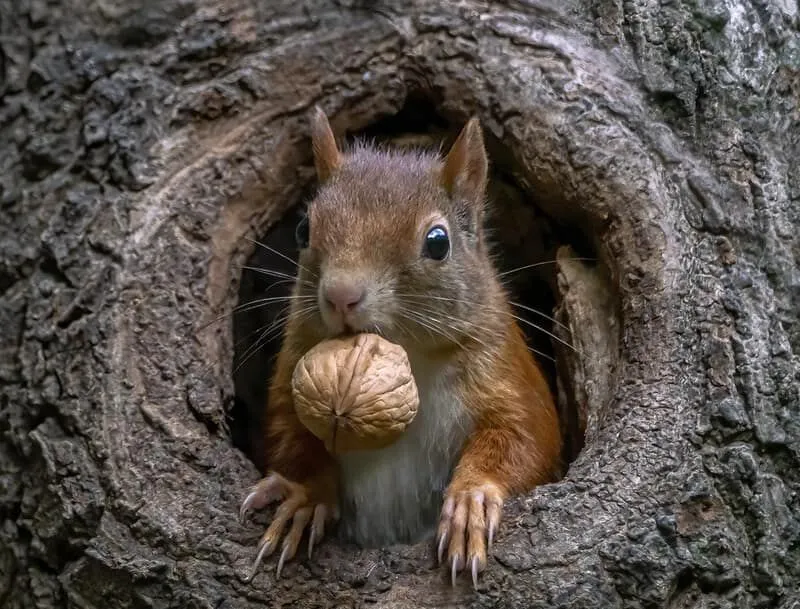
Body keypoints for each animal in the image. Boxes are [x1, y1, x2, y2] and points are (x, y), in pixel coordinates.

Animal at [239, 107, 564, 588]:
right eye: (303, 229)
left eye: (438, 242)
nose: (341, 295)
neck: (411, 354)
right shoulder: (293, 366)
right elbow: (289, 435)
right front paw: (304, 497)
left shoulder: (504, 370)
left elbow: (527, 437)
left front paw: (471, 500)